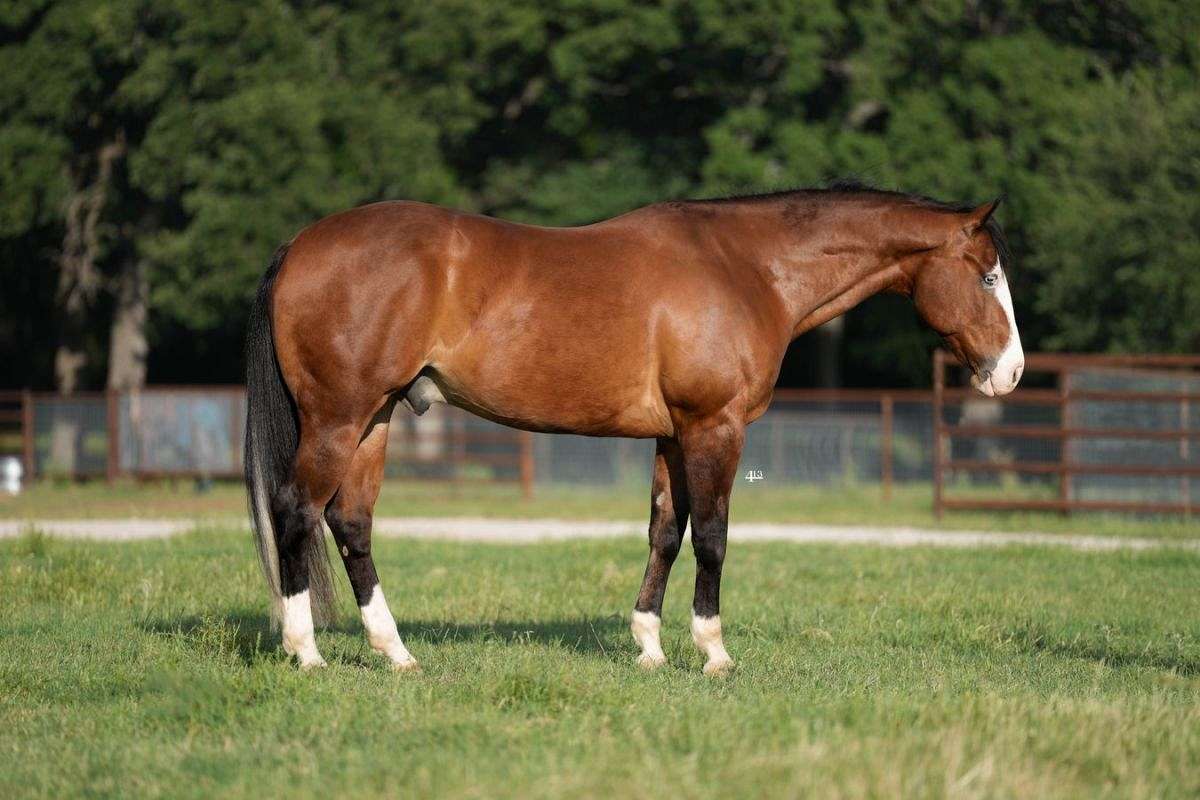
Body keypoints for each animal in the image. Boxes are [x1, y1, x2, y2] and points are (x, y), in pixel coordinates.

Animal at [243, 183, 1024, 674]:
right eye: (987, 276)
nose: (1010, 372)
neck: (746, 267)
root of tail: (301, 245)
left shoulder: (674, 435)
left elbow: (665, 532)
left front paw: (649, 645)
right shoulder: (715, 428)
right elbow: (712, 536)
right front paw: (712, 651)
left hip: (375, 419)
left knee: (351, 522)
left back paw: (396, 652)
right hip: (338, 418)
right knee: (297, 511)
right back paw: (305, 650)